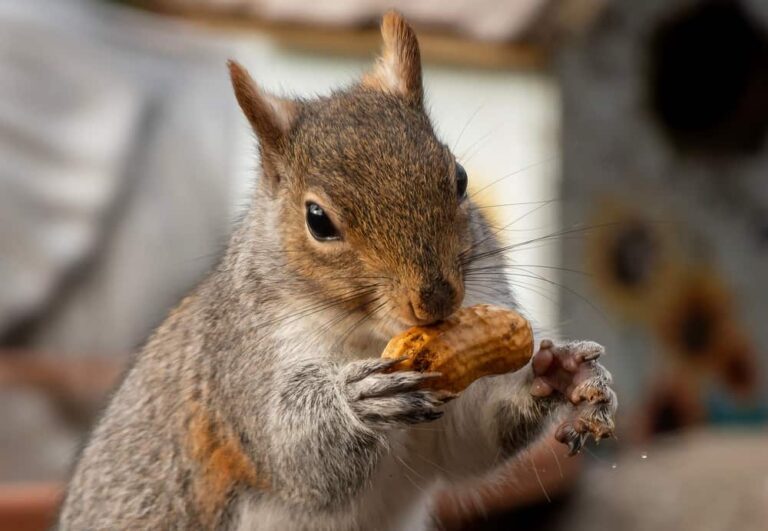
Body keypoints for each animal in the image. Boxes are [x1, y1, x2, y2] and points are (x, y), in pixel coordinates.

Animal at [57, 11, 617, 531]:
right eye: (318, 220)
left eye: (458, 178)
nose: (436, 299)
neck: (371, 335)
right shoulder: (242, 364)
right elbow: (292, 453)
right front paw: (356, 401)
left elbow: (469, 442)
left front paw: (562, 370)